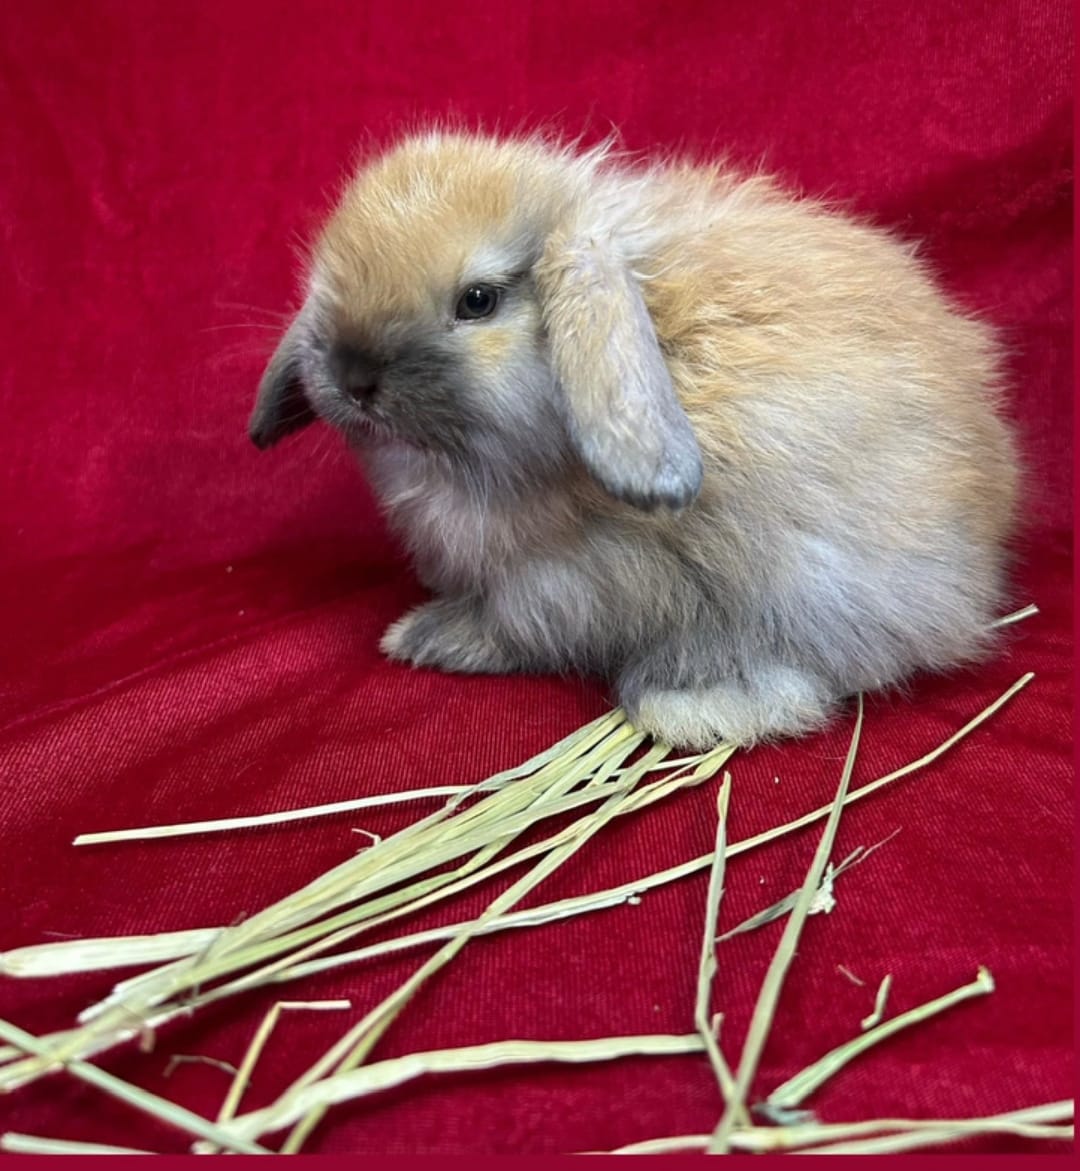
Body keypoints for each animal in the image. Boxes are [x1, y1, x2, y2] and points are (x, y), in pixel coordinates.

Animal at [249, 130, 1020, 749]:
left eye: (478, 300)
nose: (352, 377)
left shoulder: (557, 585)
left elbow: (511, 627)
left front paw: (422, 638)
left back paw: (698, 706)